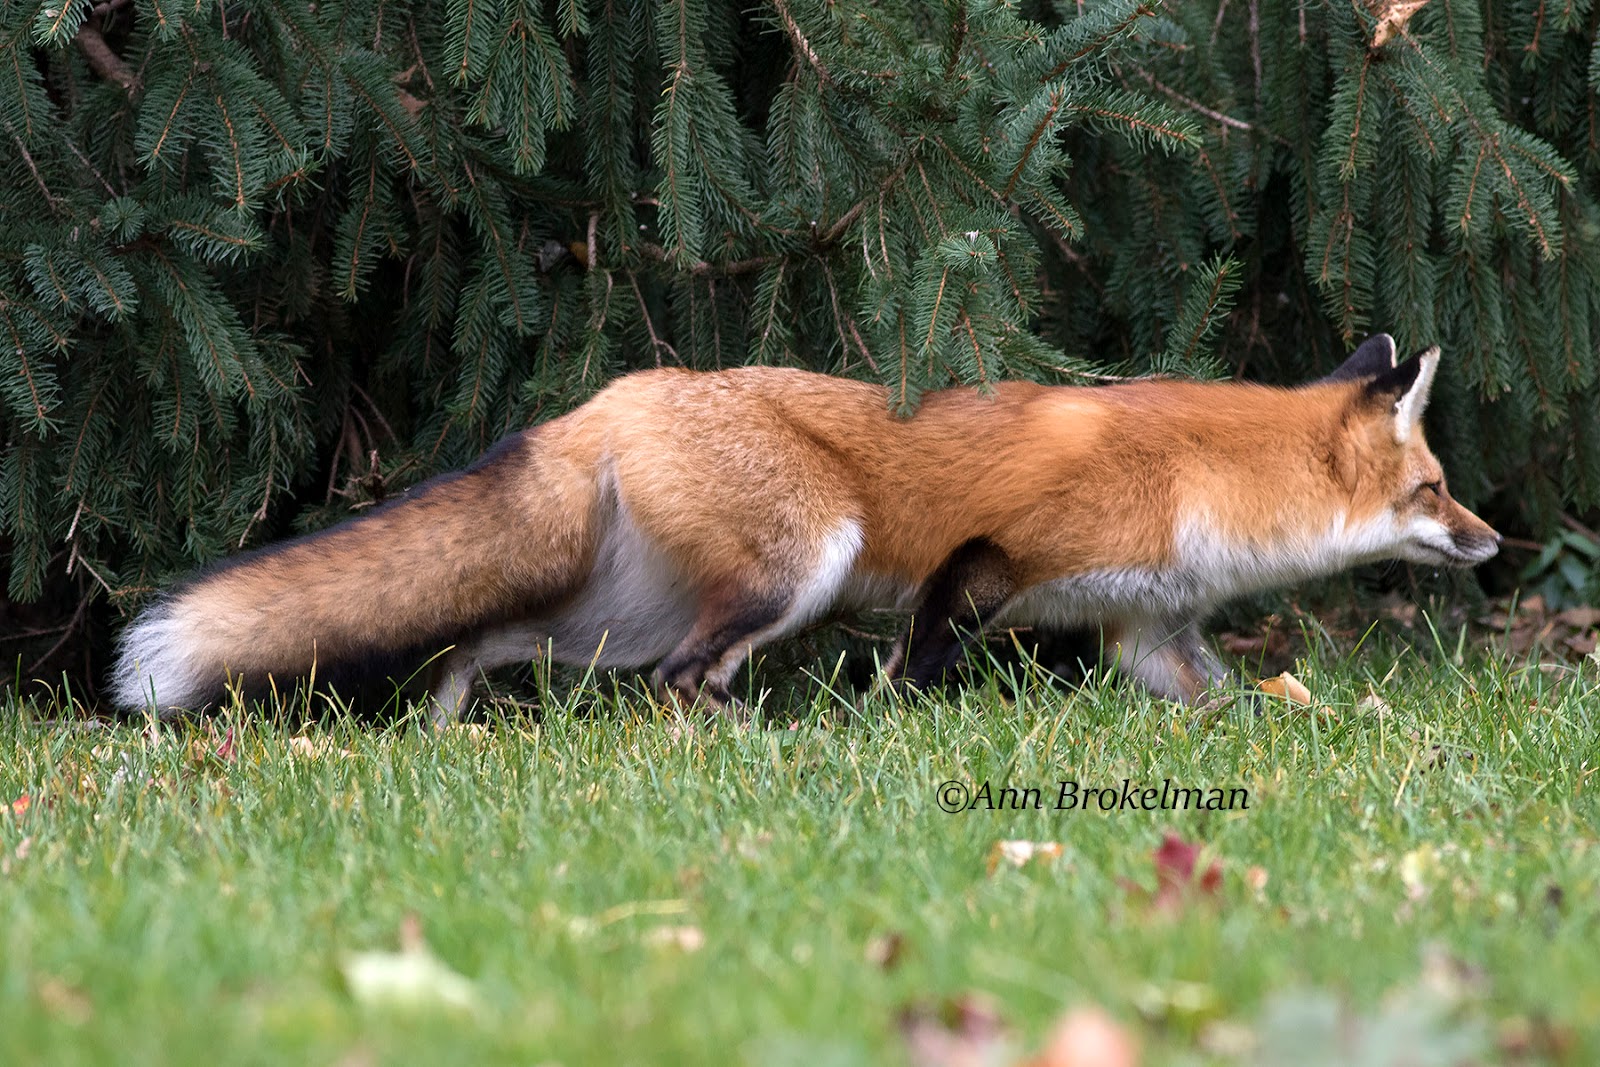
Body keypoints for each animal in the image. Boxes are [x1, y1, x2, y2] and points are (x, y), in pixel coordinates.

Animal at [113, 333, 1500, 723]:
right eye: (1435, 488)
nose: (1496, 544)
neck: (1202, 480)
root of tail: (613, 394)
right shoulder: (991, 552)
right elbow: (924, 652)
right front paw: (891, 726)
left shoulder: (1148, 635)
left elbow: (1239, 701)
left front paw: (1323, 723)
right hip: (798, 569)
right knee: (681, 682)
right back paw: (753, 742)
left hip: (620, 617)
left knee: (488, 642)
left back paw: (449, 725)